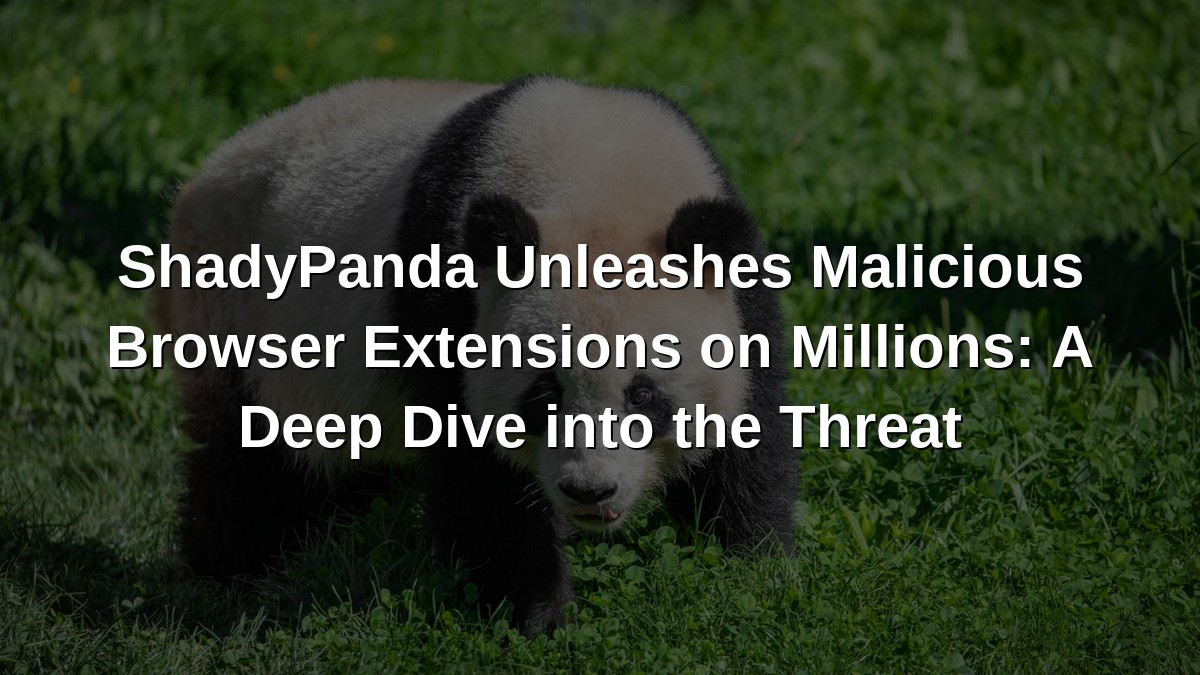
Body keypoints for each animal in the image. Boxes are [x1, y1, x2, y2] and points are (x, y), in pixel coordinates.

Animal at [156, 75, 796, 634]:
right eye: (545, 392)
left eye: (643, 395)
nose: (589, 492)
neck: (600, 177)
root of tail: (202, 177)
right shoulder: (449, 283)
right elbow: (476, 465)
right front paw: (538, 613)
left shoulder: (739, 289)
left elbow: (748, 433)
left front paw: (753, 565)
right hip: (234, 295)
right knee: (244, 456)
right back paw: (226, 569)